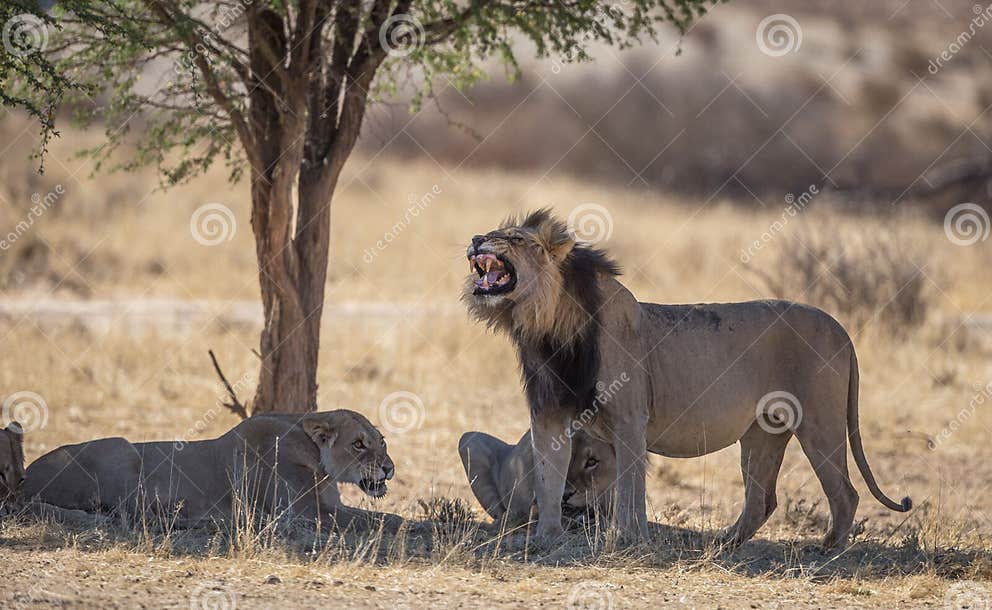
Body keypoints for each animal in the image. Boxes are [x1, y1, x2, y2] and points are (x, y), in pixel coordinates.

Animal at [23, 410, 397, 529]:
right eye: (358, 444)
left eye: (382, 441)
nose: (389, 469)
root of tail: (24, 481)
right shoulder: (307, 511)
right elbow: (376, 520)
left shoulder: (326, 506)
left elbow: (381, 516)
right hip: (123, 449)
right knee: (132, 512)